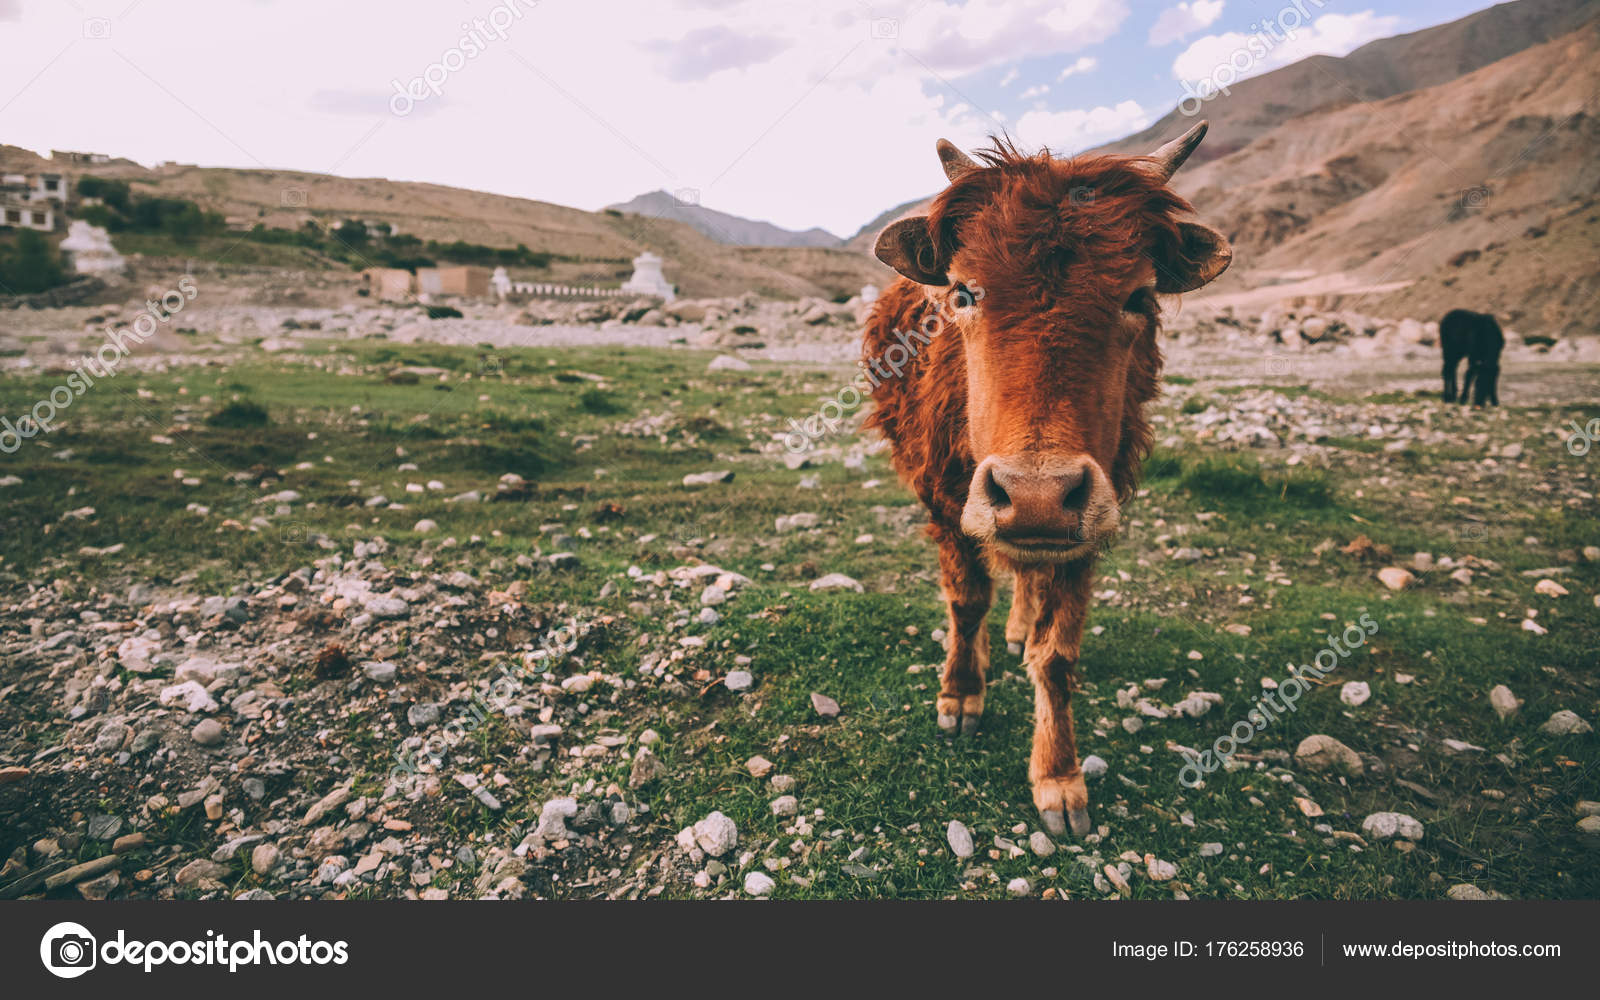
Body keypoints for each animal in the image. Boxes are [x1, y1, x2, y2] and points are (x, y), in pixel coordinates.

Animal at [863, 122, 1232, 837]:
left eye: (1139, 296)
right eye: (962, 292)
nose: (1035, 495)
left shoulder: (1089, 519)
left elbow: (1056, 652)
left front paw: (1059, 779)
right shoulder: (945, 501)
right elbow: (965, 600)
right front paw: (960, 696)